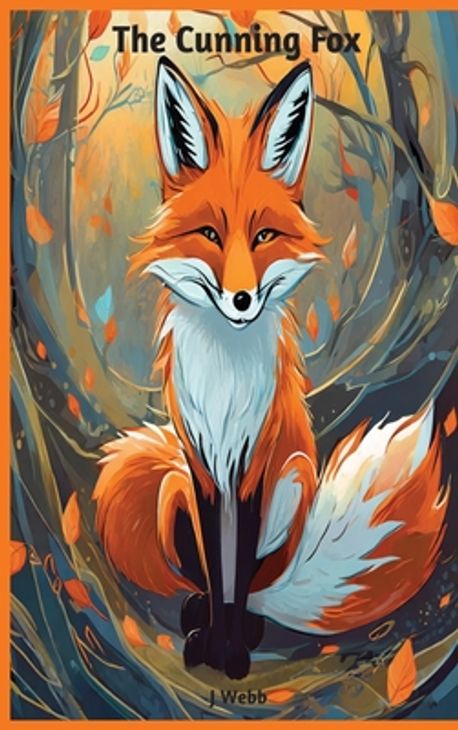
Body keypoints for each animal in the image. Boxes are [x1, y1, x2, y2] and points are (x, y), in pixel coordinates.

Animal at [93, 58, 449, 680]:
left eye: (263, 236)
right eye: (210, 234)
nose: (240, 300)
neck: (225, 380)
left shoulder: (255, 468)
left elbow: (237, 578)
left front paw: (231, 649)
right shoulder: (203, 468)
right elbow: (218, 571)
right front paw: (214, 638)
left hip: (294, 481)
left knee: (259, 586)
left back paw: (250, 623)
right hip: (172, 492)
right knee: (206, 577)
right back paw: (196, 612)